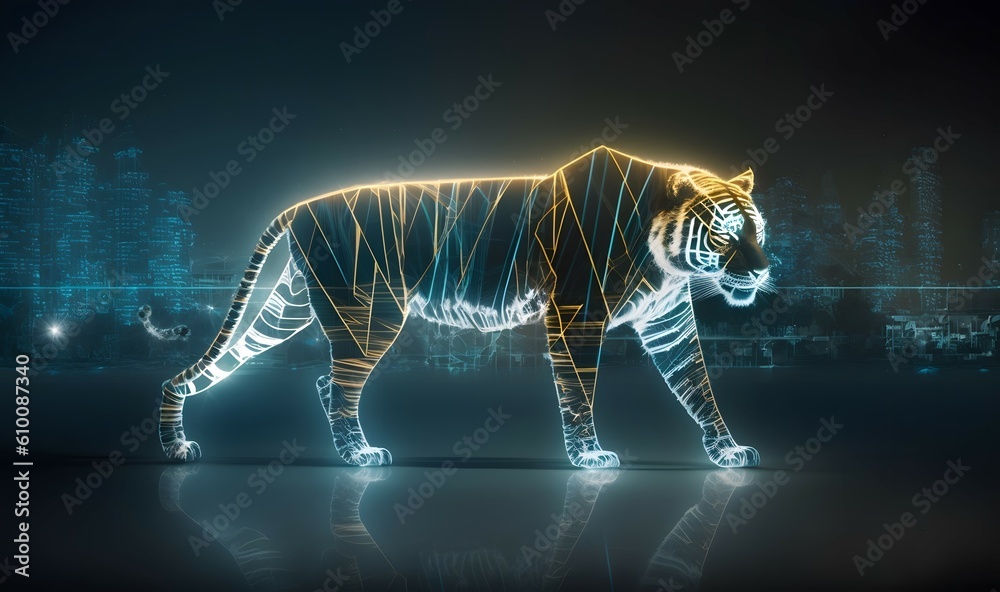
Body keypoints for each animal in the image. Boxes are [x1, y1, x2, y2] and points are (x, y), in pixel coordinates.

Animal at [158, 146, 772, 469]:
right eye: (724, 232)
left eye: (758, 231)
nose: (765, 269)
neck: (664, 258)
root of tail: (299, 207)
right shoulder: (577, 315)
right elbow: (579, 389)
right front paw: (589, 458)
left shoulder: (668, 323)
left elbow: (698, 387)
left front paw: (729, 449)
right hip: (368, 312)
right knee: (336, 383)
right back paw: (358, 455)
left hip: (292, 308)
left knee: (237, 370)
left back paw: (178, 445)